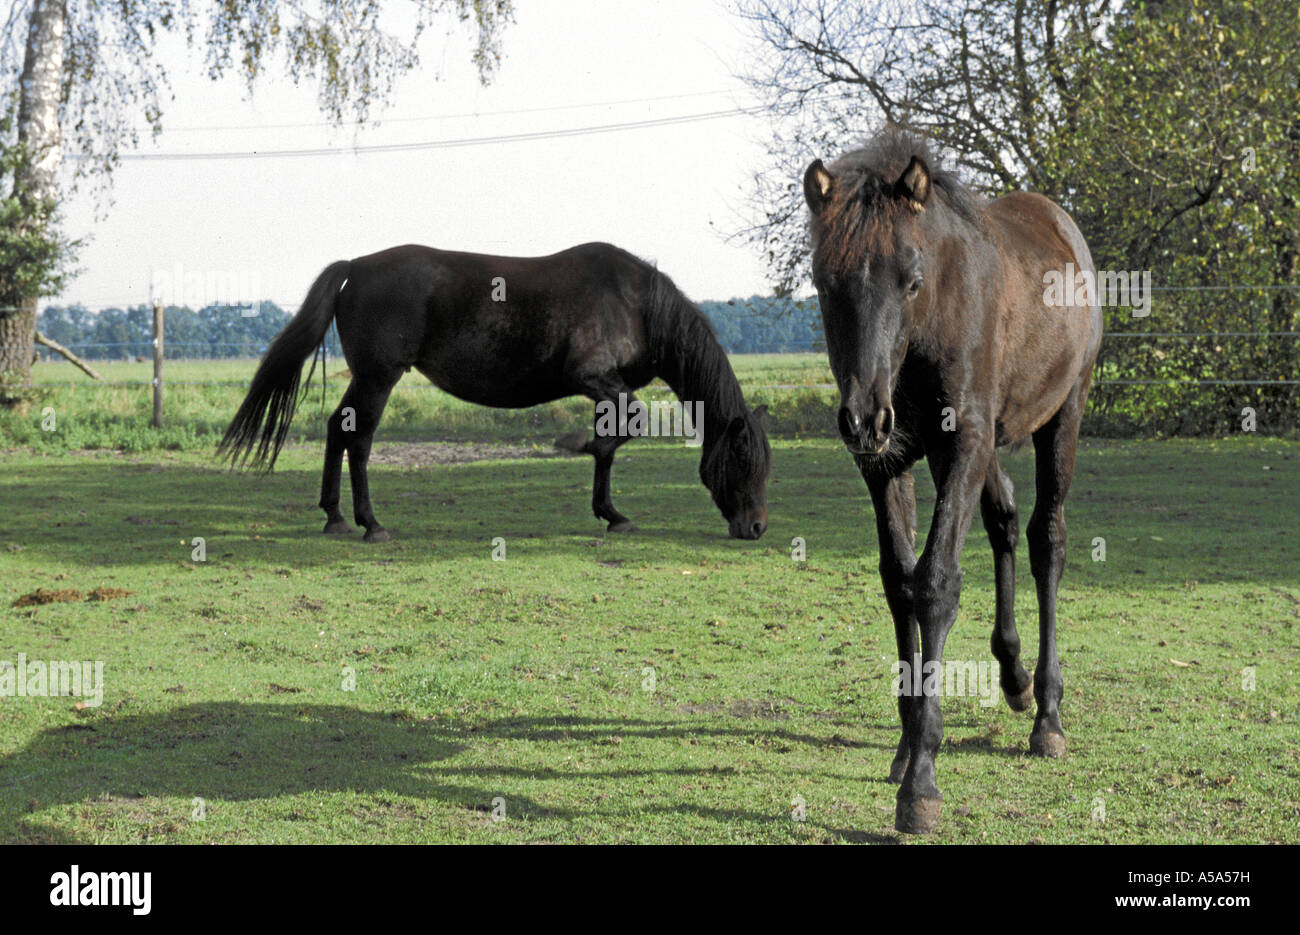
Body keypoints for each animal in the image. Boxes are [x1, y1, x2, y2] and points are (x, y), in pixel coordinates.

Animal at [219, 242, 772, 542]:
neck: (634, 303)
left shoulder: (605, 391)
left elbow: (612, 447)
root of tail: (356, 265)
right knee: (360, 440)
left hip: (368, 378)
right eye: (742, 460)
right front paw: (582, 451)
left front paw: (611, 513)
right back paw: (371, 523)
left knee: (339, 430)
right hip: (379, 377)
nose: (757, 528)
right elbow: (619, 433)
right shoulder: (593, 378)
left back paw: (334, 518)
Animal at [803, 130, 1103, 834]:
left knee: (1048, 538)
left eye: (912, 280)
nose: (864, 417)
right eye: (825, 283)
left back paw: (1047, 715)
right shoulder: (890, 463)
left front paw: (921, 784)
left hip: (1063, 415)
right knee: (1005, 518)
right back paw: (1014, 677)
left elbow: (936, 584)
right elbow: (899, 584)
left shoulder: (964, 441)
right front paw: (906, 743)